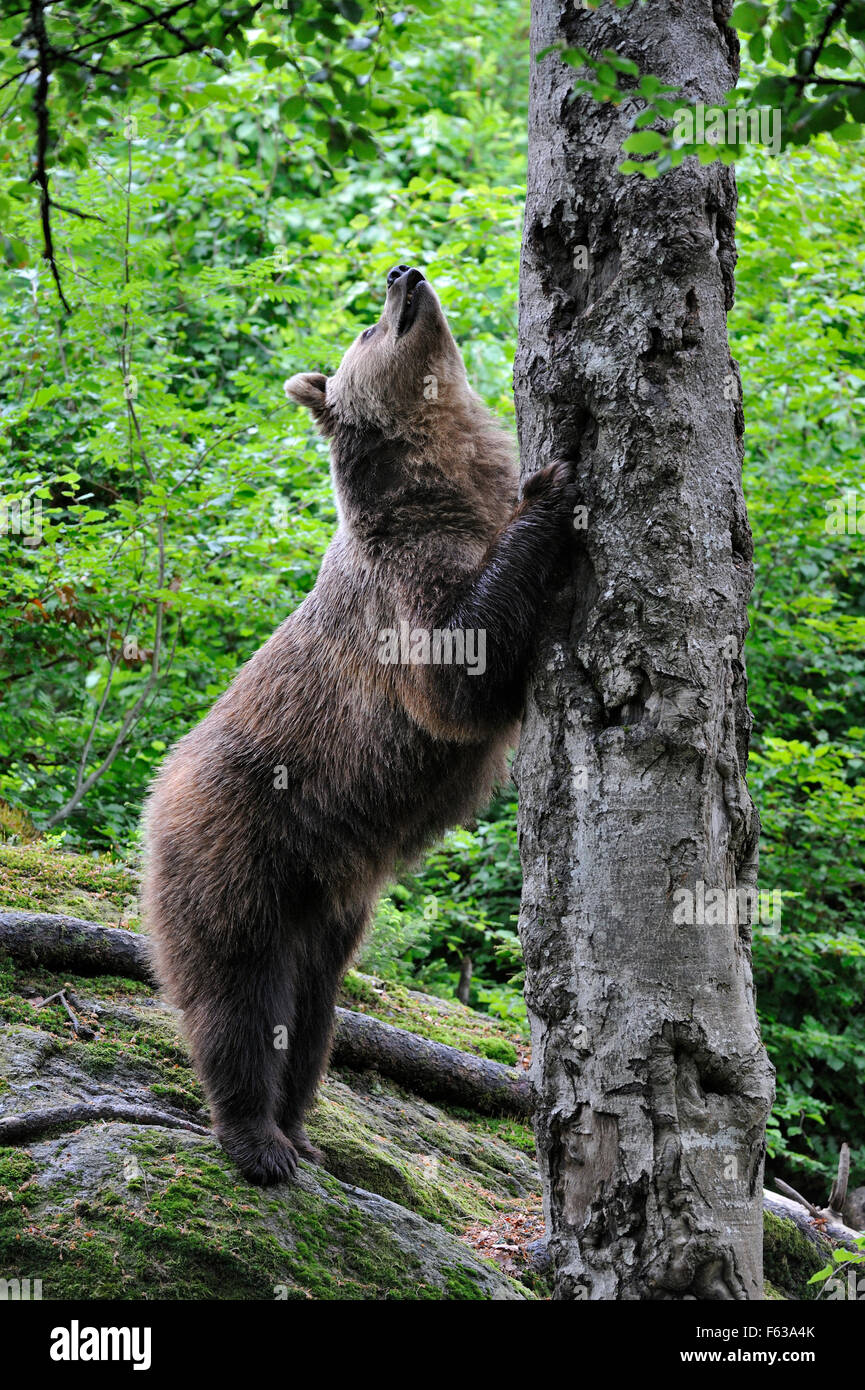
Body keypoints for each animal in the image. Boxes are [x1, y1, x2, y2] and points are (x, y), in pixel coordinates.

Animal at [141, 264, 576, 1185]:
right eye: (367, 330)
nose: (403, 272)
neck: (447, 488)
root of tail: (153, 793)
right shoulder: (403, 589)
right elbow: (454, 679)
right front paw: (551, 490)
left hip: (330, 907)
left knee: (312, 1022)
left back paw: (300, 1129)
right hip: (236, 843)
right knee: (236, 997)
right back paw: (258, 1141)